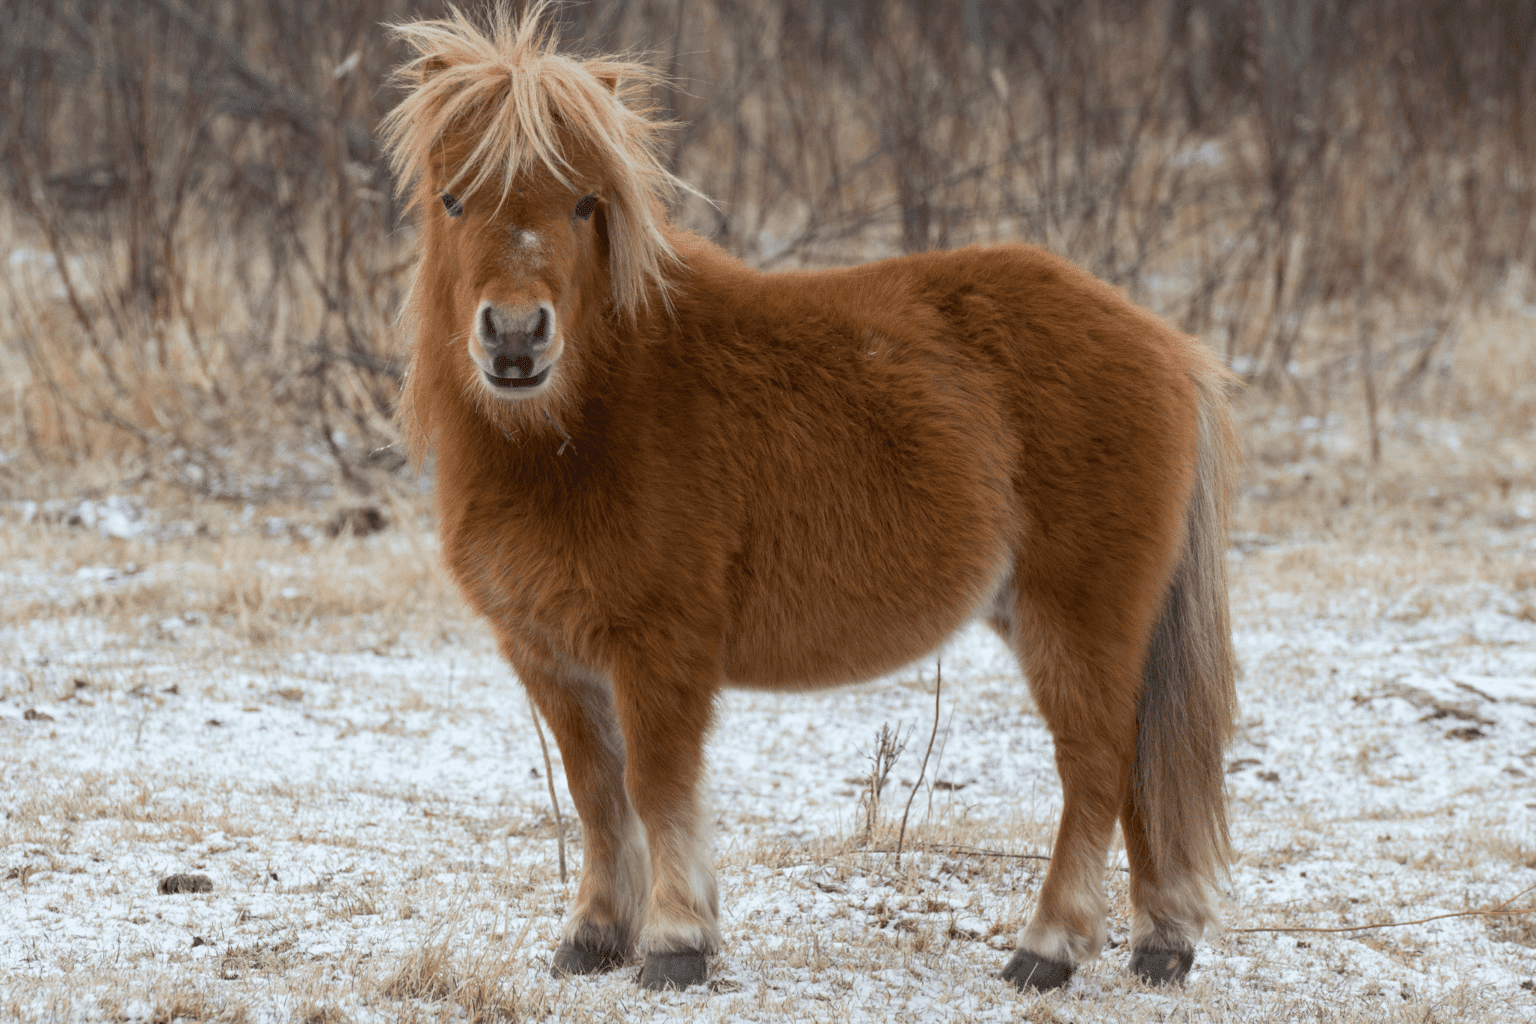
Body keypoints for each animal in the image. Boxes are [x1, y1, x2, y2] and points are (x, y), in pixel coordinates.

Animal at [381, 4, 1239, 994]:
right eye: (452, 199)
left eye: (584, 203)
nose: (517, 339)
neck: (581, 426)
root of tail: (1168, 346)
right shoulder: (550, 657)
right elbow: (597, 794)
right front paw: (594, 938)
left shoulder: (659, 650)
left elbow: (656, 787)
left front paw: (675, 944)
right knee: (1140, 775)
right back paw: (1161, 944)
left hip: (1077, 619)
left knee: (1099, 768)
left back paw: (1047, 949)